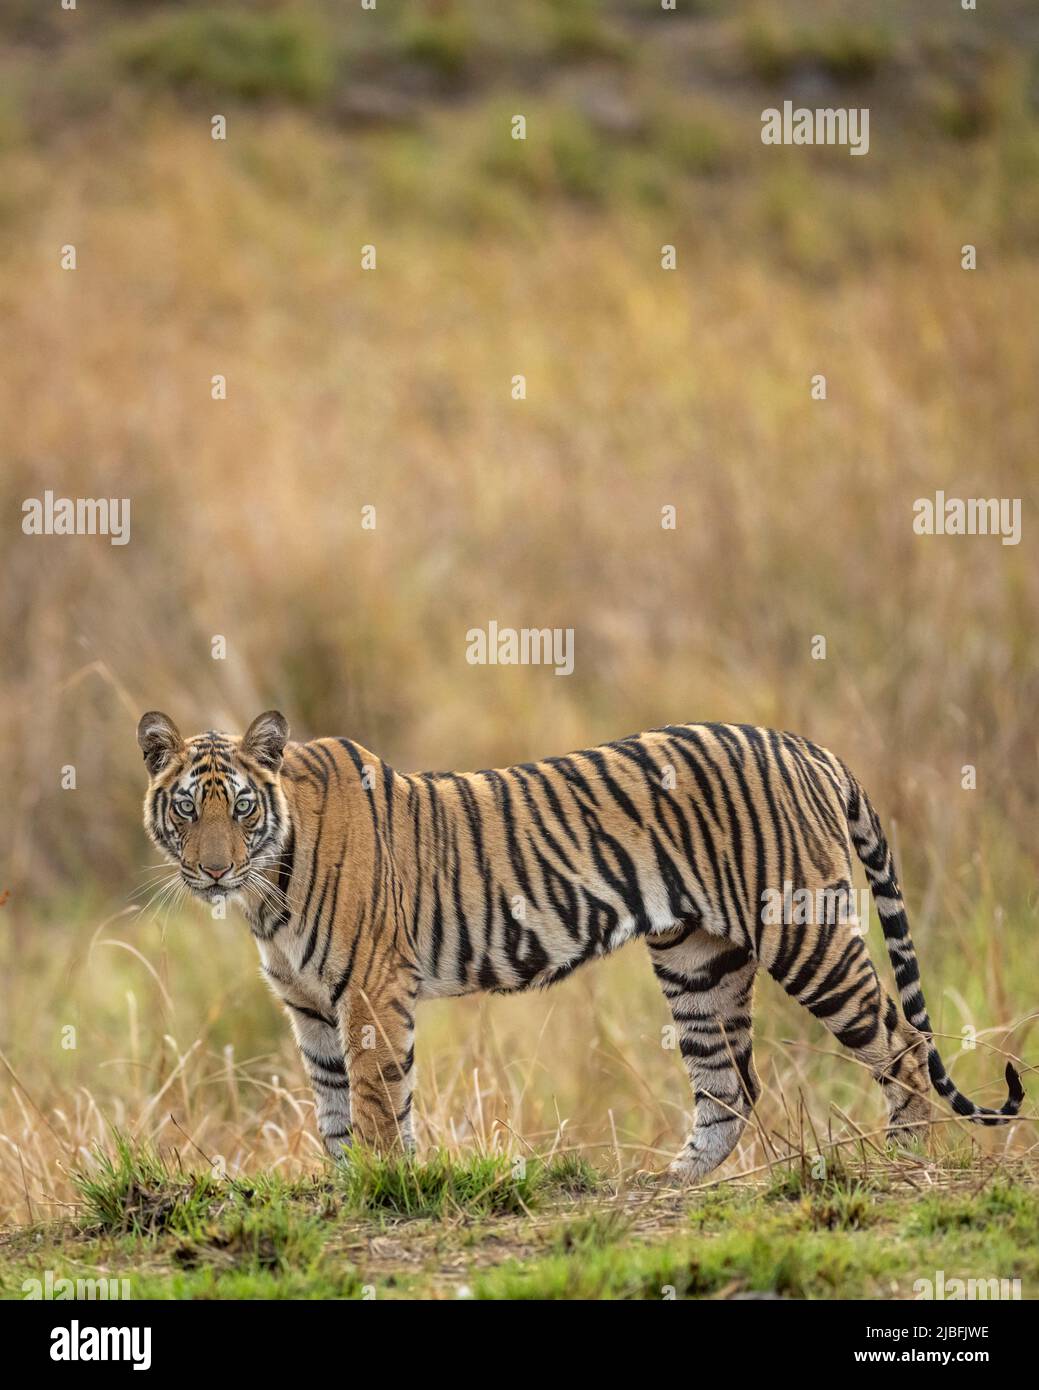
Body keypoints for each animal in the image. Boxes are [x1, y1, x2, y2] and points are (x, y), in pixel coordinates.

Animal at [137, 710, 1023, 1179]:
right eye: (185, 808)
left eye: (240, 807)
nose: (211, 869)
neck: (263, 890)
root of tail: (806, 746)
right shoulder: (310, 1006)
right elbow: (334, 1110)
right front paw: (352, 1186)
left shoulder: (369, 993)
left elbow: (378, 1100)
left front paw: (385, 1187)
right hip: (697, 960)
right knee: (727, 1087)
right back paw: (673, 1185)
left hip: (805, 935)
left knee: (899, 1045)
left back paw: (902, 1164)